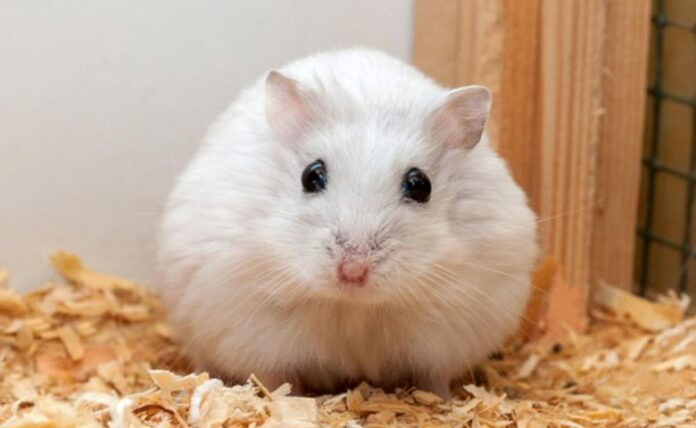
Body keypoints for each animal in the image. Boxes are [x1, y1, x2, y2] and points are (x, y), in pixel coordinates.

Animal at [156, 48, 537, 398]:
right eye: (311, 175)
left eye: (420, 185)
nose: (353, 271)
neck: (355, 306)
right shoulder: (255, 330)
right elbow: (276, 380)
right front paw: (287, 401)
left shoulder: (451, 331)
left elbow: (433, 380)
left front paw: (441, 402)